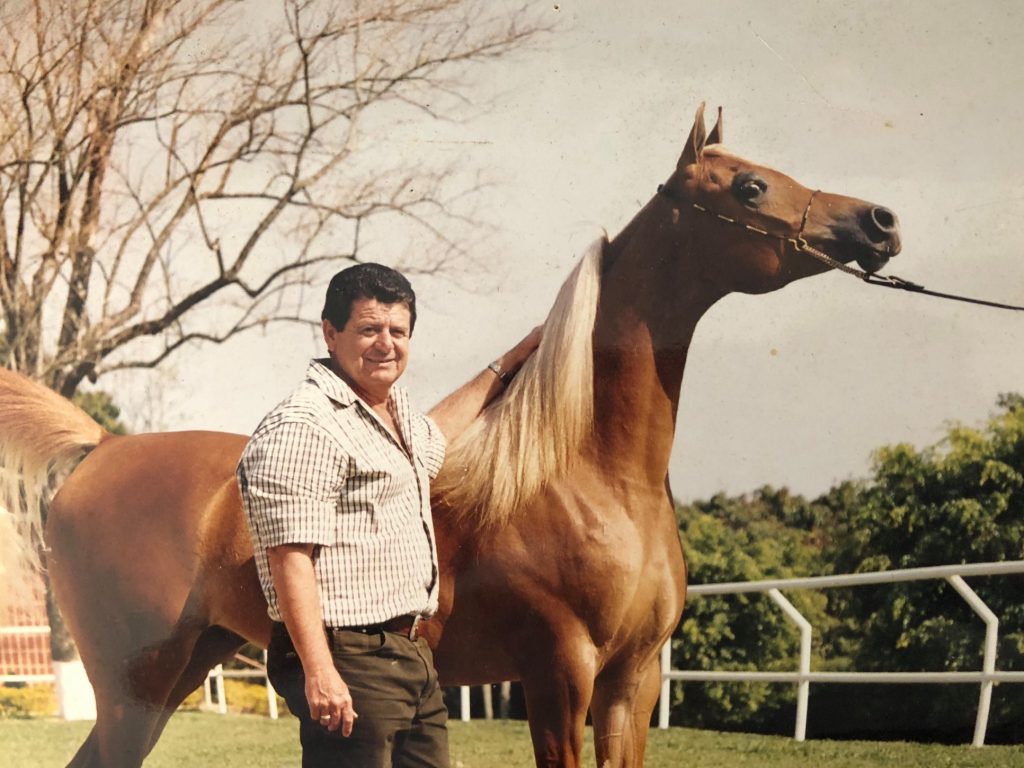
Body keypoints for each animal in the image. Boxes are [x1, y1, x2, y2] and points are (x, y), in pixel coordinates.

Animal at [0, 104, 901, 767]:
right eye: (749, 187)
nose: (878, 222)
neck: (596, 476)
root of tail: (102, 448)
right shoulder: (559, 676)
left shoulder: (631, 682)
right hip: (137, 687)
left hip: (182, 669)